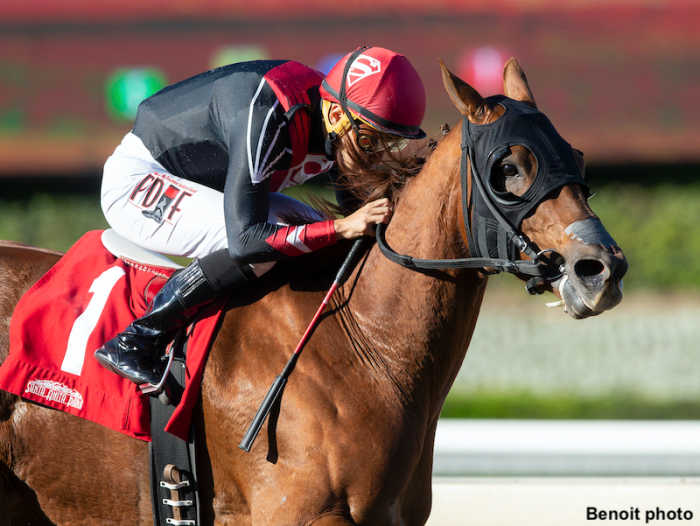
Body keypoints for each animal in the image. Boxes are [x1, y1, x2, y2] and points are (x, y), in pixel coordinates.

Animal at [0, 59, 627, 525]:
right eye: (510, 167)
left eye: (575, 156)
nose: (601, 269)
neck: (364, 345)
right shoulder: (299, 513)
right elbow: (246, 236)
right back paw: (129, 351)